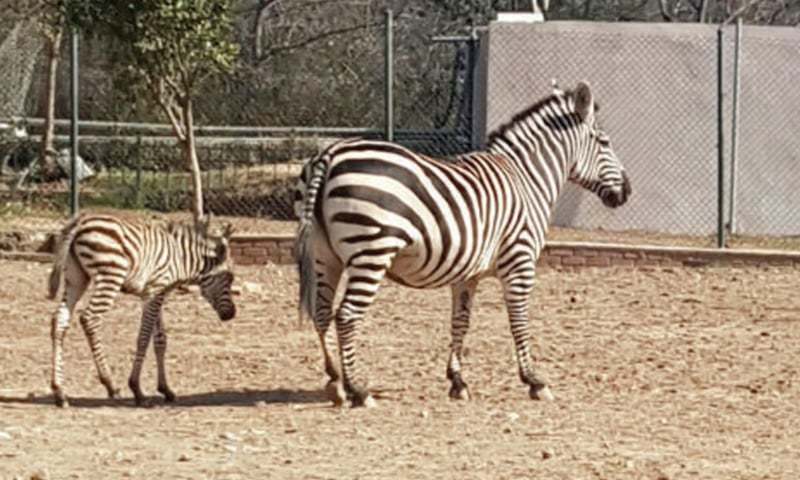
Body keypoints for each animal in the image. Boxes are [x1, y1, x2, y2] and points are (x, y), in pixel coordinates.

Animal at [47, 212, 237, 408]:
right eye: (229, 278)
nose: (231, 314)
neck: (182, 259)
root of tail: (80, 220)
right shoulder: (155, 290)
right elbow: (144, 337)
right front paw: (137, 389)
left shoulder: (155, 294)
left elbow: (160, 340)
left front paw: (166, 389)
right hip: (110, 275)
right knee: (89, 318)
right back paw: (110, 384)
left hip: (76, 278)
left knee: (59, 320)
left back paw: (60, 392)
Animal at [295, 80, 631, 408]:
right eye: (605, 142)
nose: (627, 192)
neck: (526, 179)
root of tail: (330, 153)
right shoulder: (519, 262)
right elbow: (519, 321)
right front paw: (535, 381)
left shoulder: (467, 273)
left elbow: (460, 321)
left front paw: (458, 381)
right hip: (372, 251)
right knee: (346, 315)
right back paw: (358, 389)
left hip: (325, 255)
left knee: (322, 312)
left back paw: (336, 382)